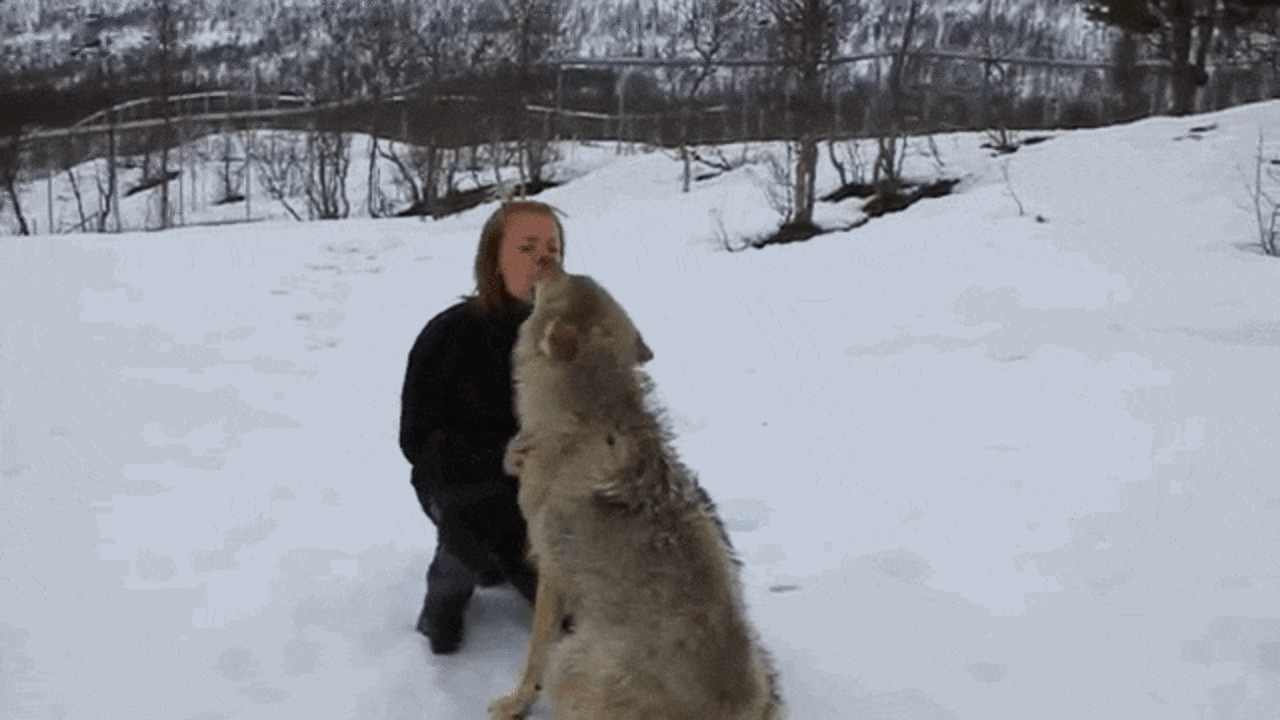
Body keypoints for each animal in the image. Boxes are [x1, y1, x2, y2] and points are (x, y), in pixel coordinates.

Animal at [489, 270, 782, 720]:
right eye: (571, 274)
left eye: (559, 280)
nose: (544, 267)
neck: (589, 417)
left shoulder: (551, 568)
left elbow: (534, 655)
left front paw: (514, 703)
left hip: (571, 663)